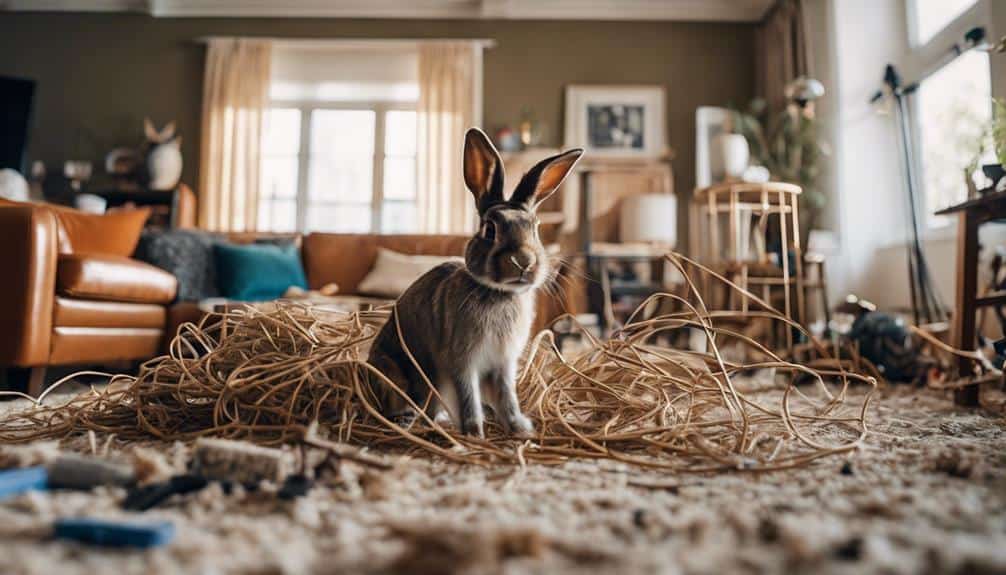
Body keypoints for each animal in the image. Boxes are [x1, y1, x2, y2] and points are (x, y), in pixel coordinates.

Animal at [366, 128, 583, 438]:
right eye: (490, 229)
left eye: (536, 228)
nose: (524, 261)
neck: (500, 293)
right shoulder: (462, 362)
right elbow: (468, 396)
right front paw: (475, 433)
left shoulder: (502, 365)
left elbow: (506, 397)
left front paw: (519, 429)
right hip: (398, 377)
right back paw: (406, 421)